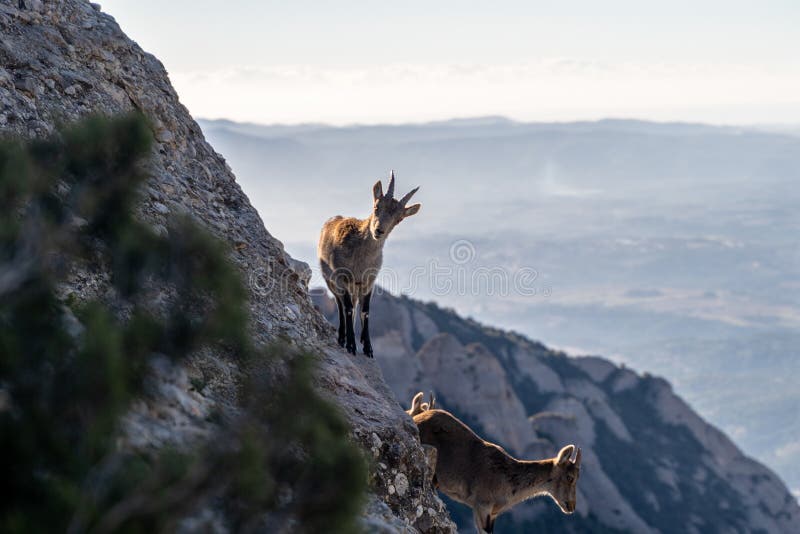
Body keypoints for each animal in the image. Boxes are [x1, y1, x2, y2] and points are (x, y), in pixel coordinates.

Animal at [318, 171, 420, 357]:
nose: (379, 231)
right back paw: (342, 337)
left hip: (354, 286)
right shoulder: (341, 277)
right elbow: (347, 308)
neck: (360, 258)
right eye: (376, 207)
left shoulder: (368, 281)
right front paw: (351, 345)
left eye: (399, 219)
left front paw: (368, 348)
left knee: (353, 305)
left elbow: (365, 311)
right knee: (341, 305)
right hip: (330, 280)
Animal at [414, 409, 581, 534]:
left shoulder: (492, 514)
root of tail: (415, 418)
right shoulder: (482, 506)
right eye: (570, 477)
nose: (571, 506)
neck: (508, 479)